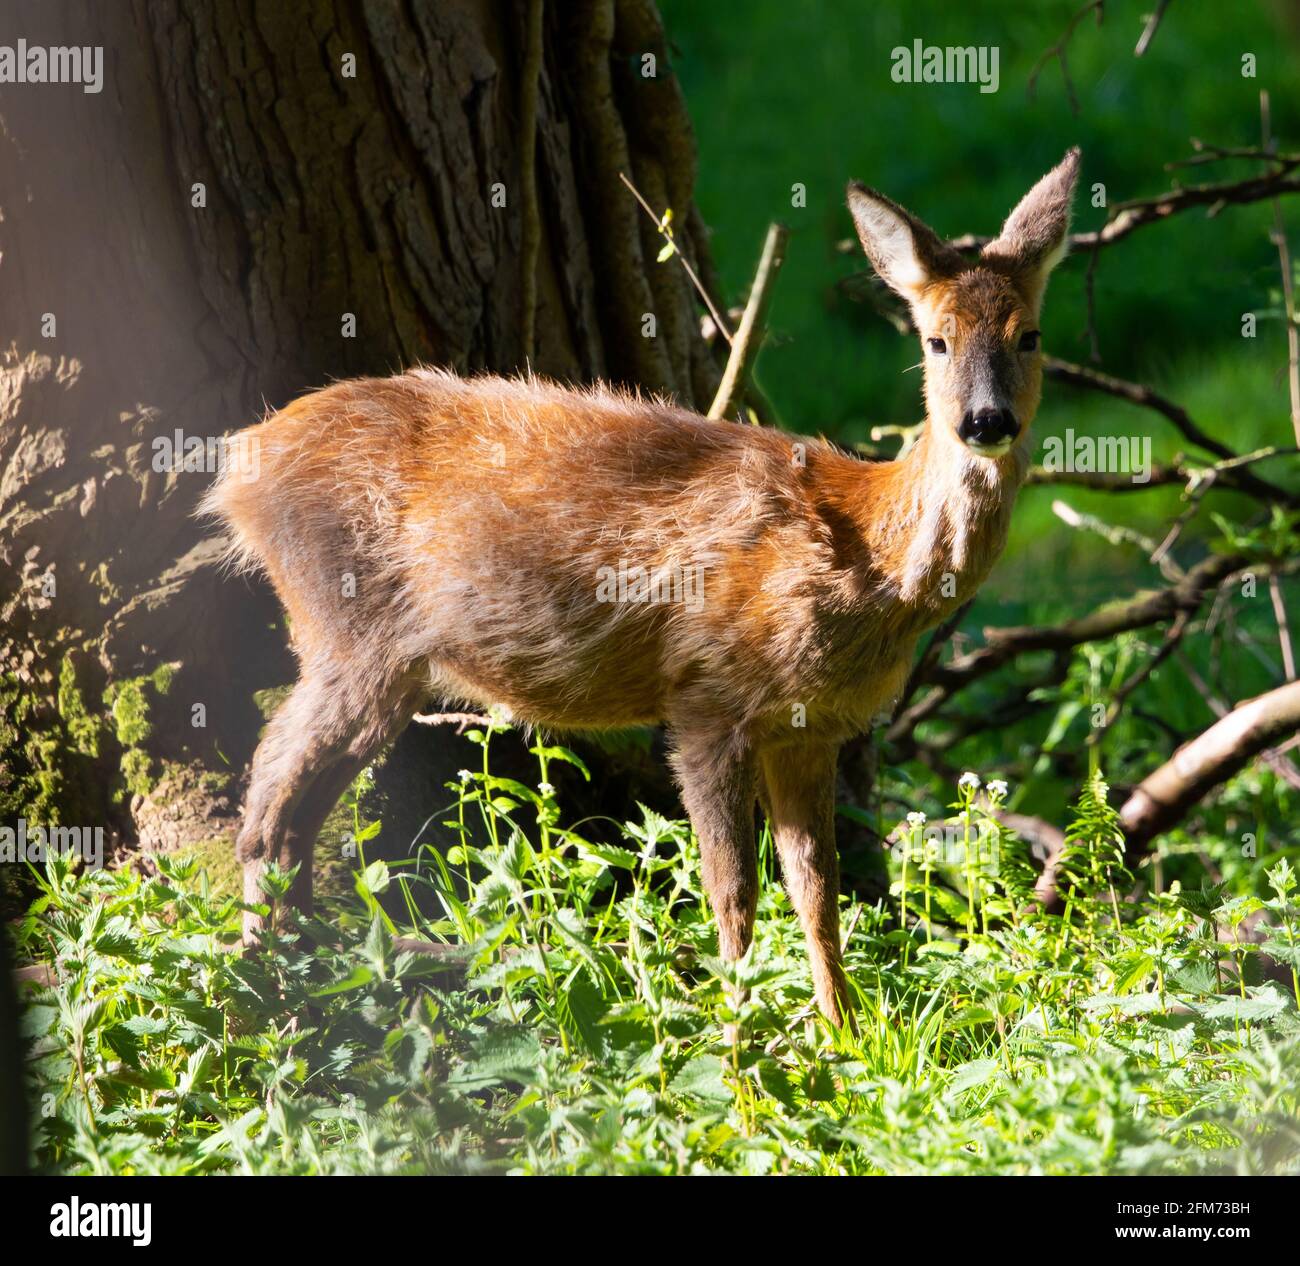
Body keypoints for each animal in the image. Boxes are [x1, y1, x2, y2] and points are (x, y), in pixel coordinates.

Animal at [203, 149, 1080, 1028]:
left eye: (1030, 336)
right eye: (936, 341)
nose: (986, 422)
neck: (868, 557)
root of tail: (240, 463)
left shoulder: (809, 728)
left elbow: (816, 891)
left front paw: (844, 1030)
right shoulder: (707, 697)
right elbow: (735, 890)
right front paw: (741, 1026)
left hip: (380, 659)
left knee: (297, 809)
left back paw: (316, 976)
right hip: (346, 627)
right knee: (268, 795)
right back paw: (266, 991)